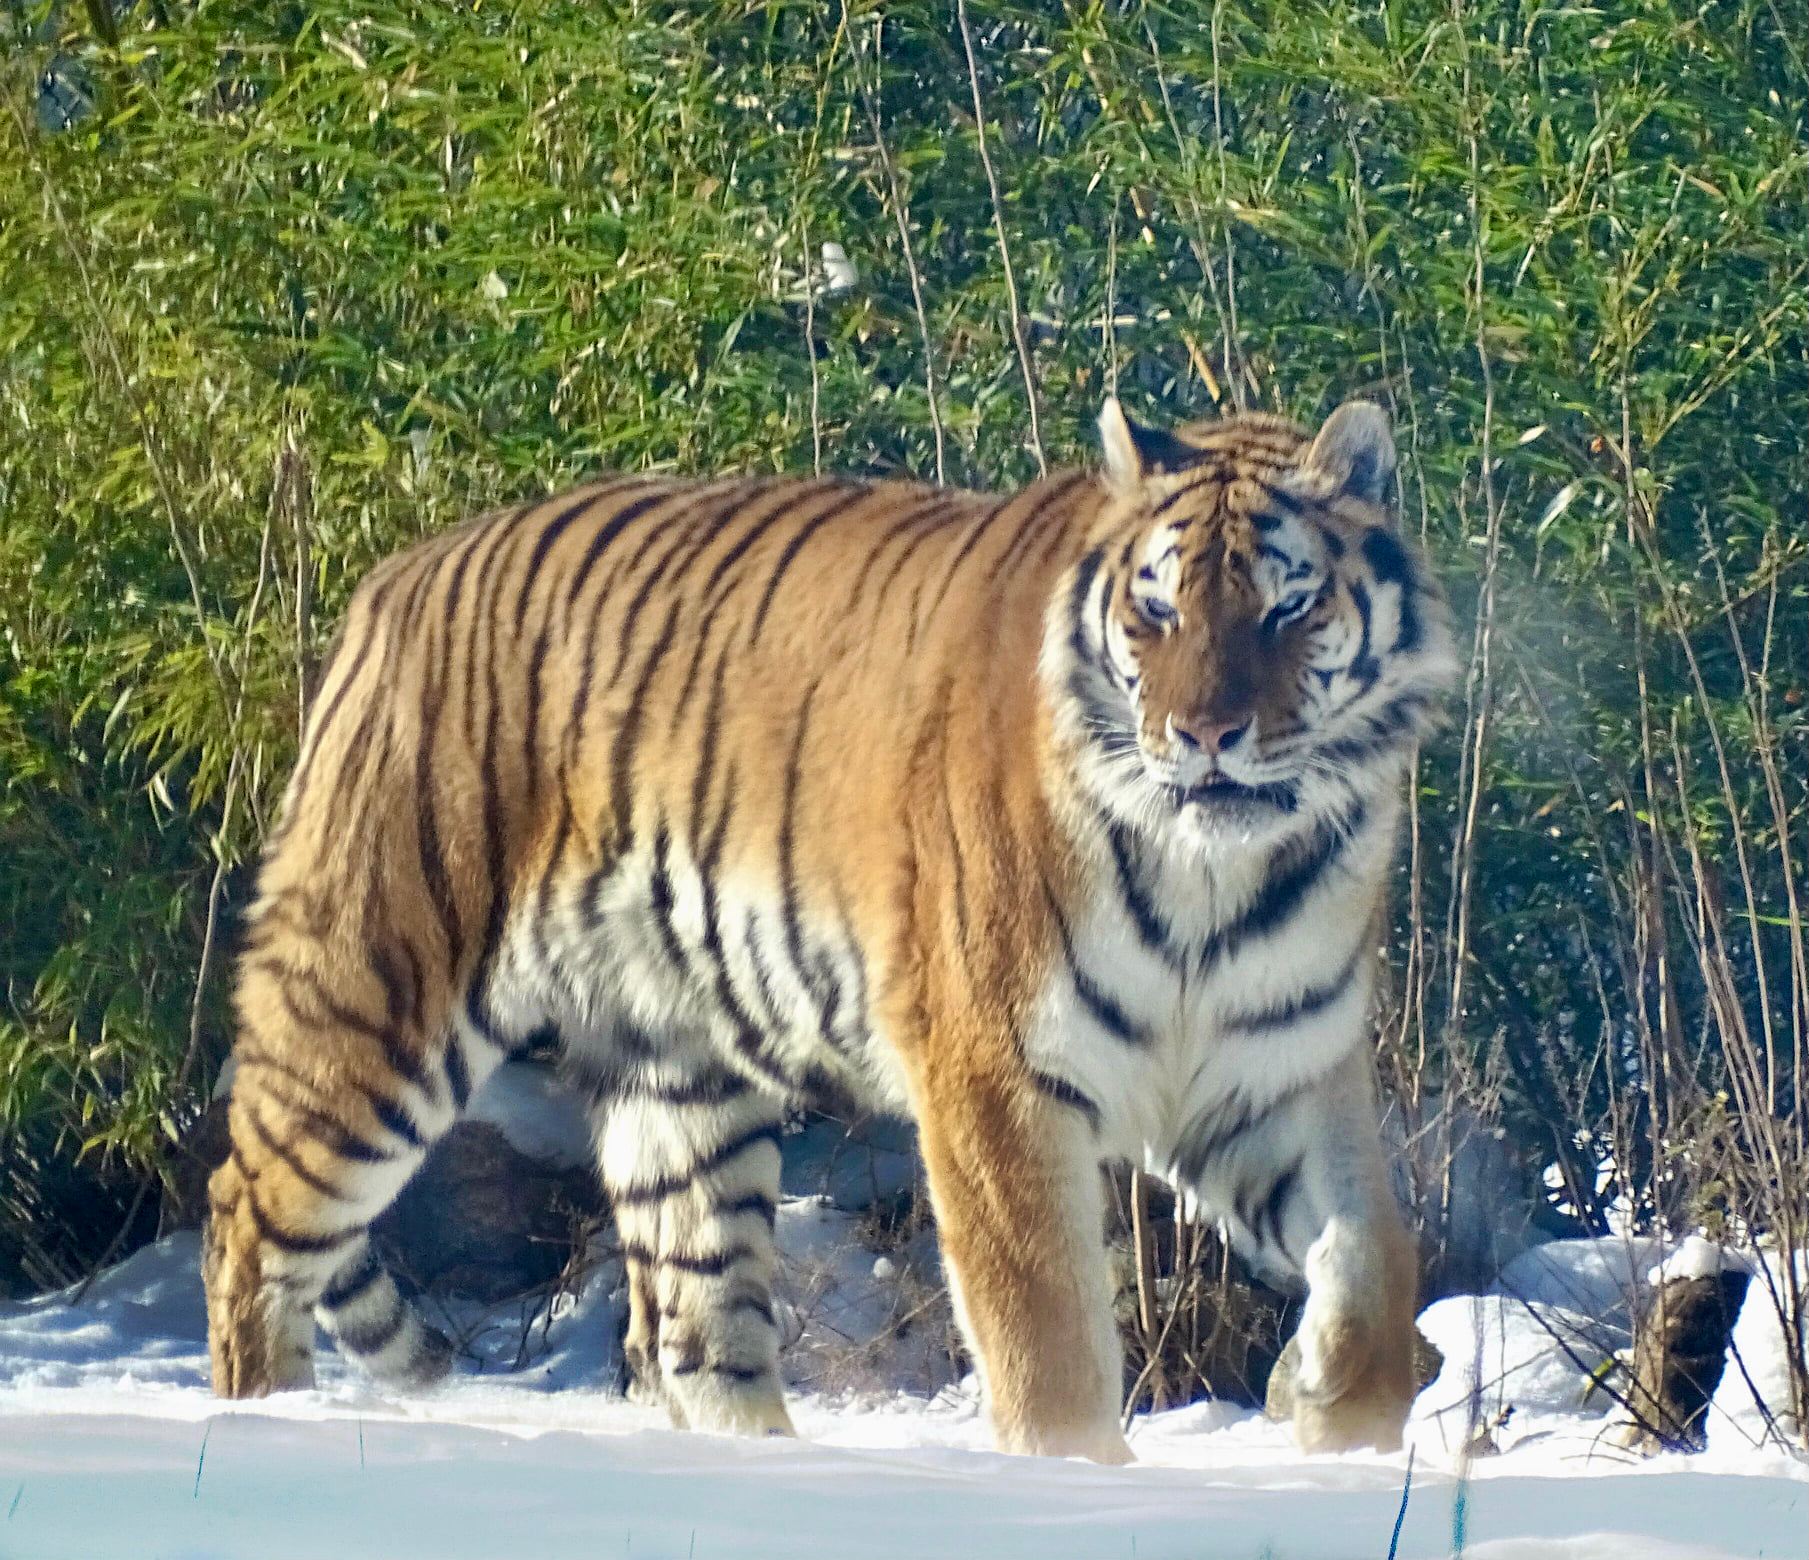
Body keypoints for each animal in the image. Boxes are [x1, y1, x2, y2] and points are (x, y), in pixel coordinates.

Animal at [203, 395, 1456, 1461]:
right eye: (1158, 609)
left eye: (1289, 607)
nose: (1203, 736)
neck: (1219, 874)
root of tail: (392, 581)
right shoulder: (995, 1077)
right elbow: (1046, 1335)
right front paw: (1080, 1482)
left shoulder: (1276, 1070)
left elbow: (1375, 1256)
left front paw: (1334, 1417)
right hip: (374, 996)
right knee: (246, 1216)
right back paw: (262, 1428)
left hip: (678, 1081)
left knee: (692, 1321)